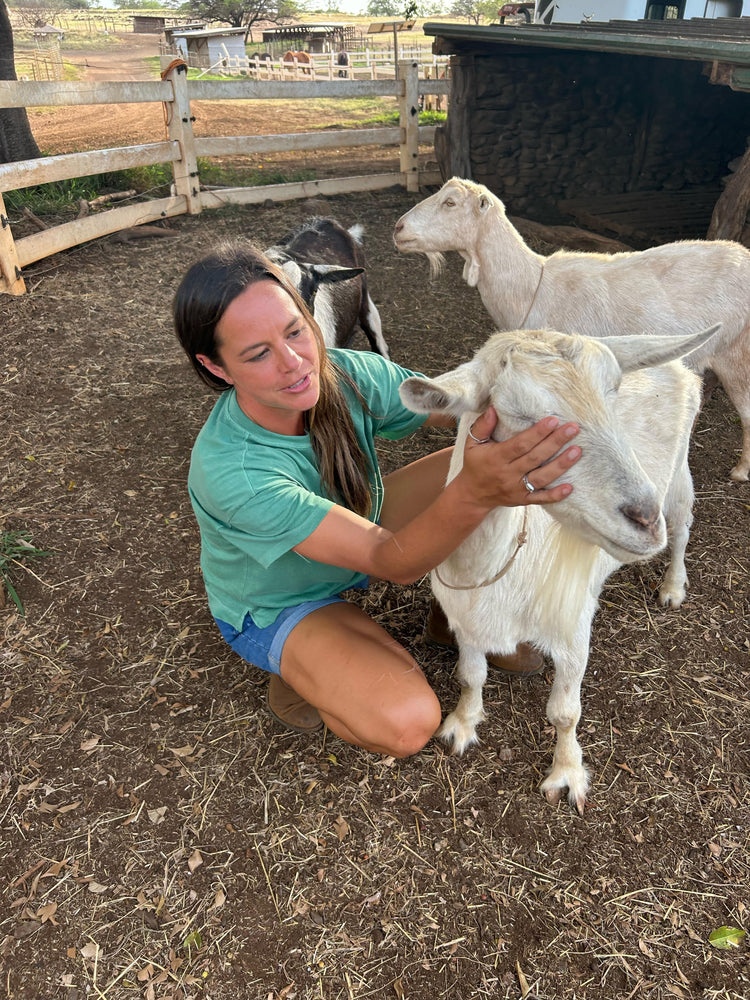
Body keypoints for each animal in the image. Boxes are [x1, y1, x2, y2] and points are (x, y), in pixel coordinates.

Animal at [393, 177, 750, 482]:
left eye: (450, 202)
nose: (398, 228)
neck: (532, 286)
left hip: (738, 353)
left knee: (746, 412)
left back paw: (741, 471)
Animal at [400, 322, 719, 814]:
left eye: (613, 392)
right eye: (521, 415)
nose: (644, 519)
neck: (498, 573)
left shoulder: (572, 629)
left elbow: (565, 712)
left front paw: (566, 774)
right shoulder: (466, 620)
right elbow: (471, 675)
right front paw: (462, 725)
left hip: (679, 477)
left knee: (683, 528)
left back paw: (673, 586)